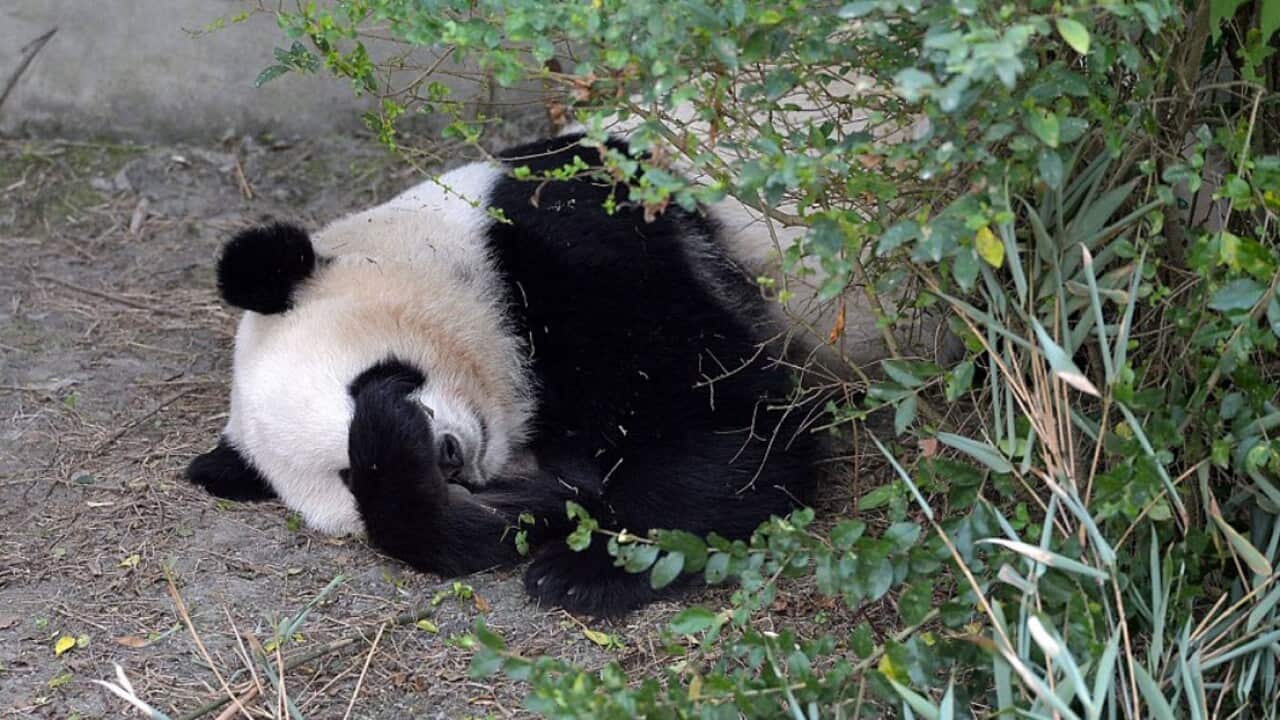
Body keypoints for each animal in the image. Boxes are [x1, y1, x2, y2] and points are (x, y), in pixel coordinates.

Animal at [187, 133, 819, 617]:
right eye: (347, 474)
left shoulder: (582, 244)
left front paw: (587, 570)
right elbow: (491, 520)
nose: (446, 456)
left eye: (371, 380)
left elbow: (717, 412)